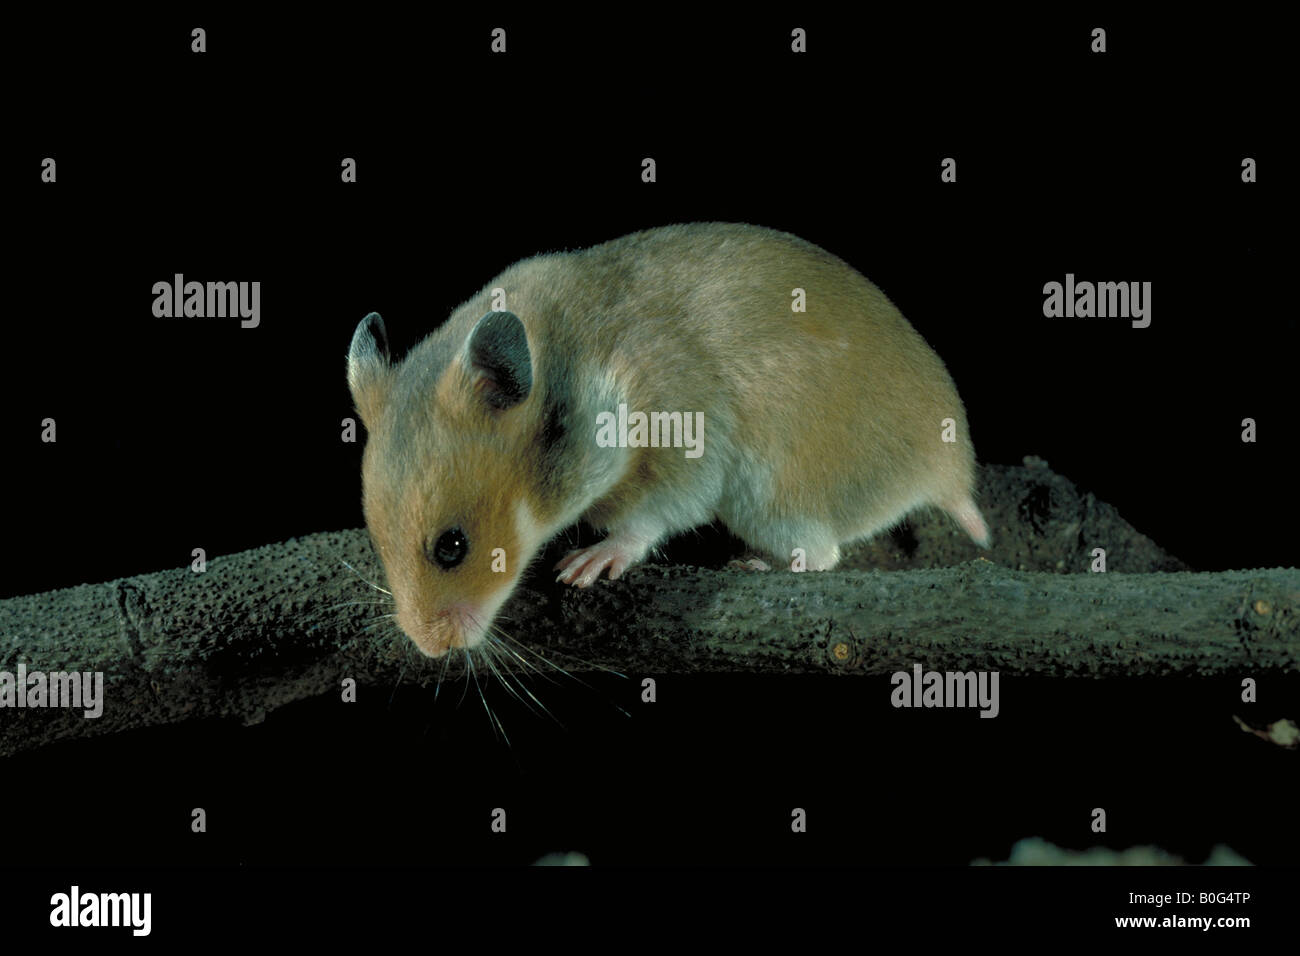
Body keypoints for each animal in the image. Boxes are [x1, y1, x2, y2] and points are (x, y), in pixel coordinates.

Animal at [347, 222, 990, 658]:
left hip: (774, 493)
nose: (431, 649)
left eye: (452, 546)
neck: (570, 368)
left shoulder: (685, 440)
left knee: (822, 554)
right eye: (376, 541)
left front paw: (585, 564)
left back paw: (753, 565)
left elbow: (648, 519)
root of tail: (951, 470)